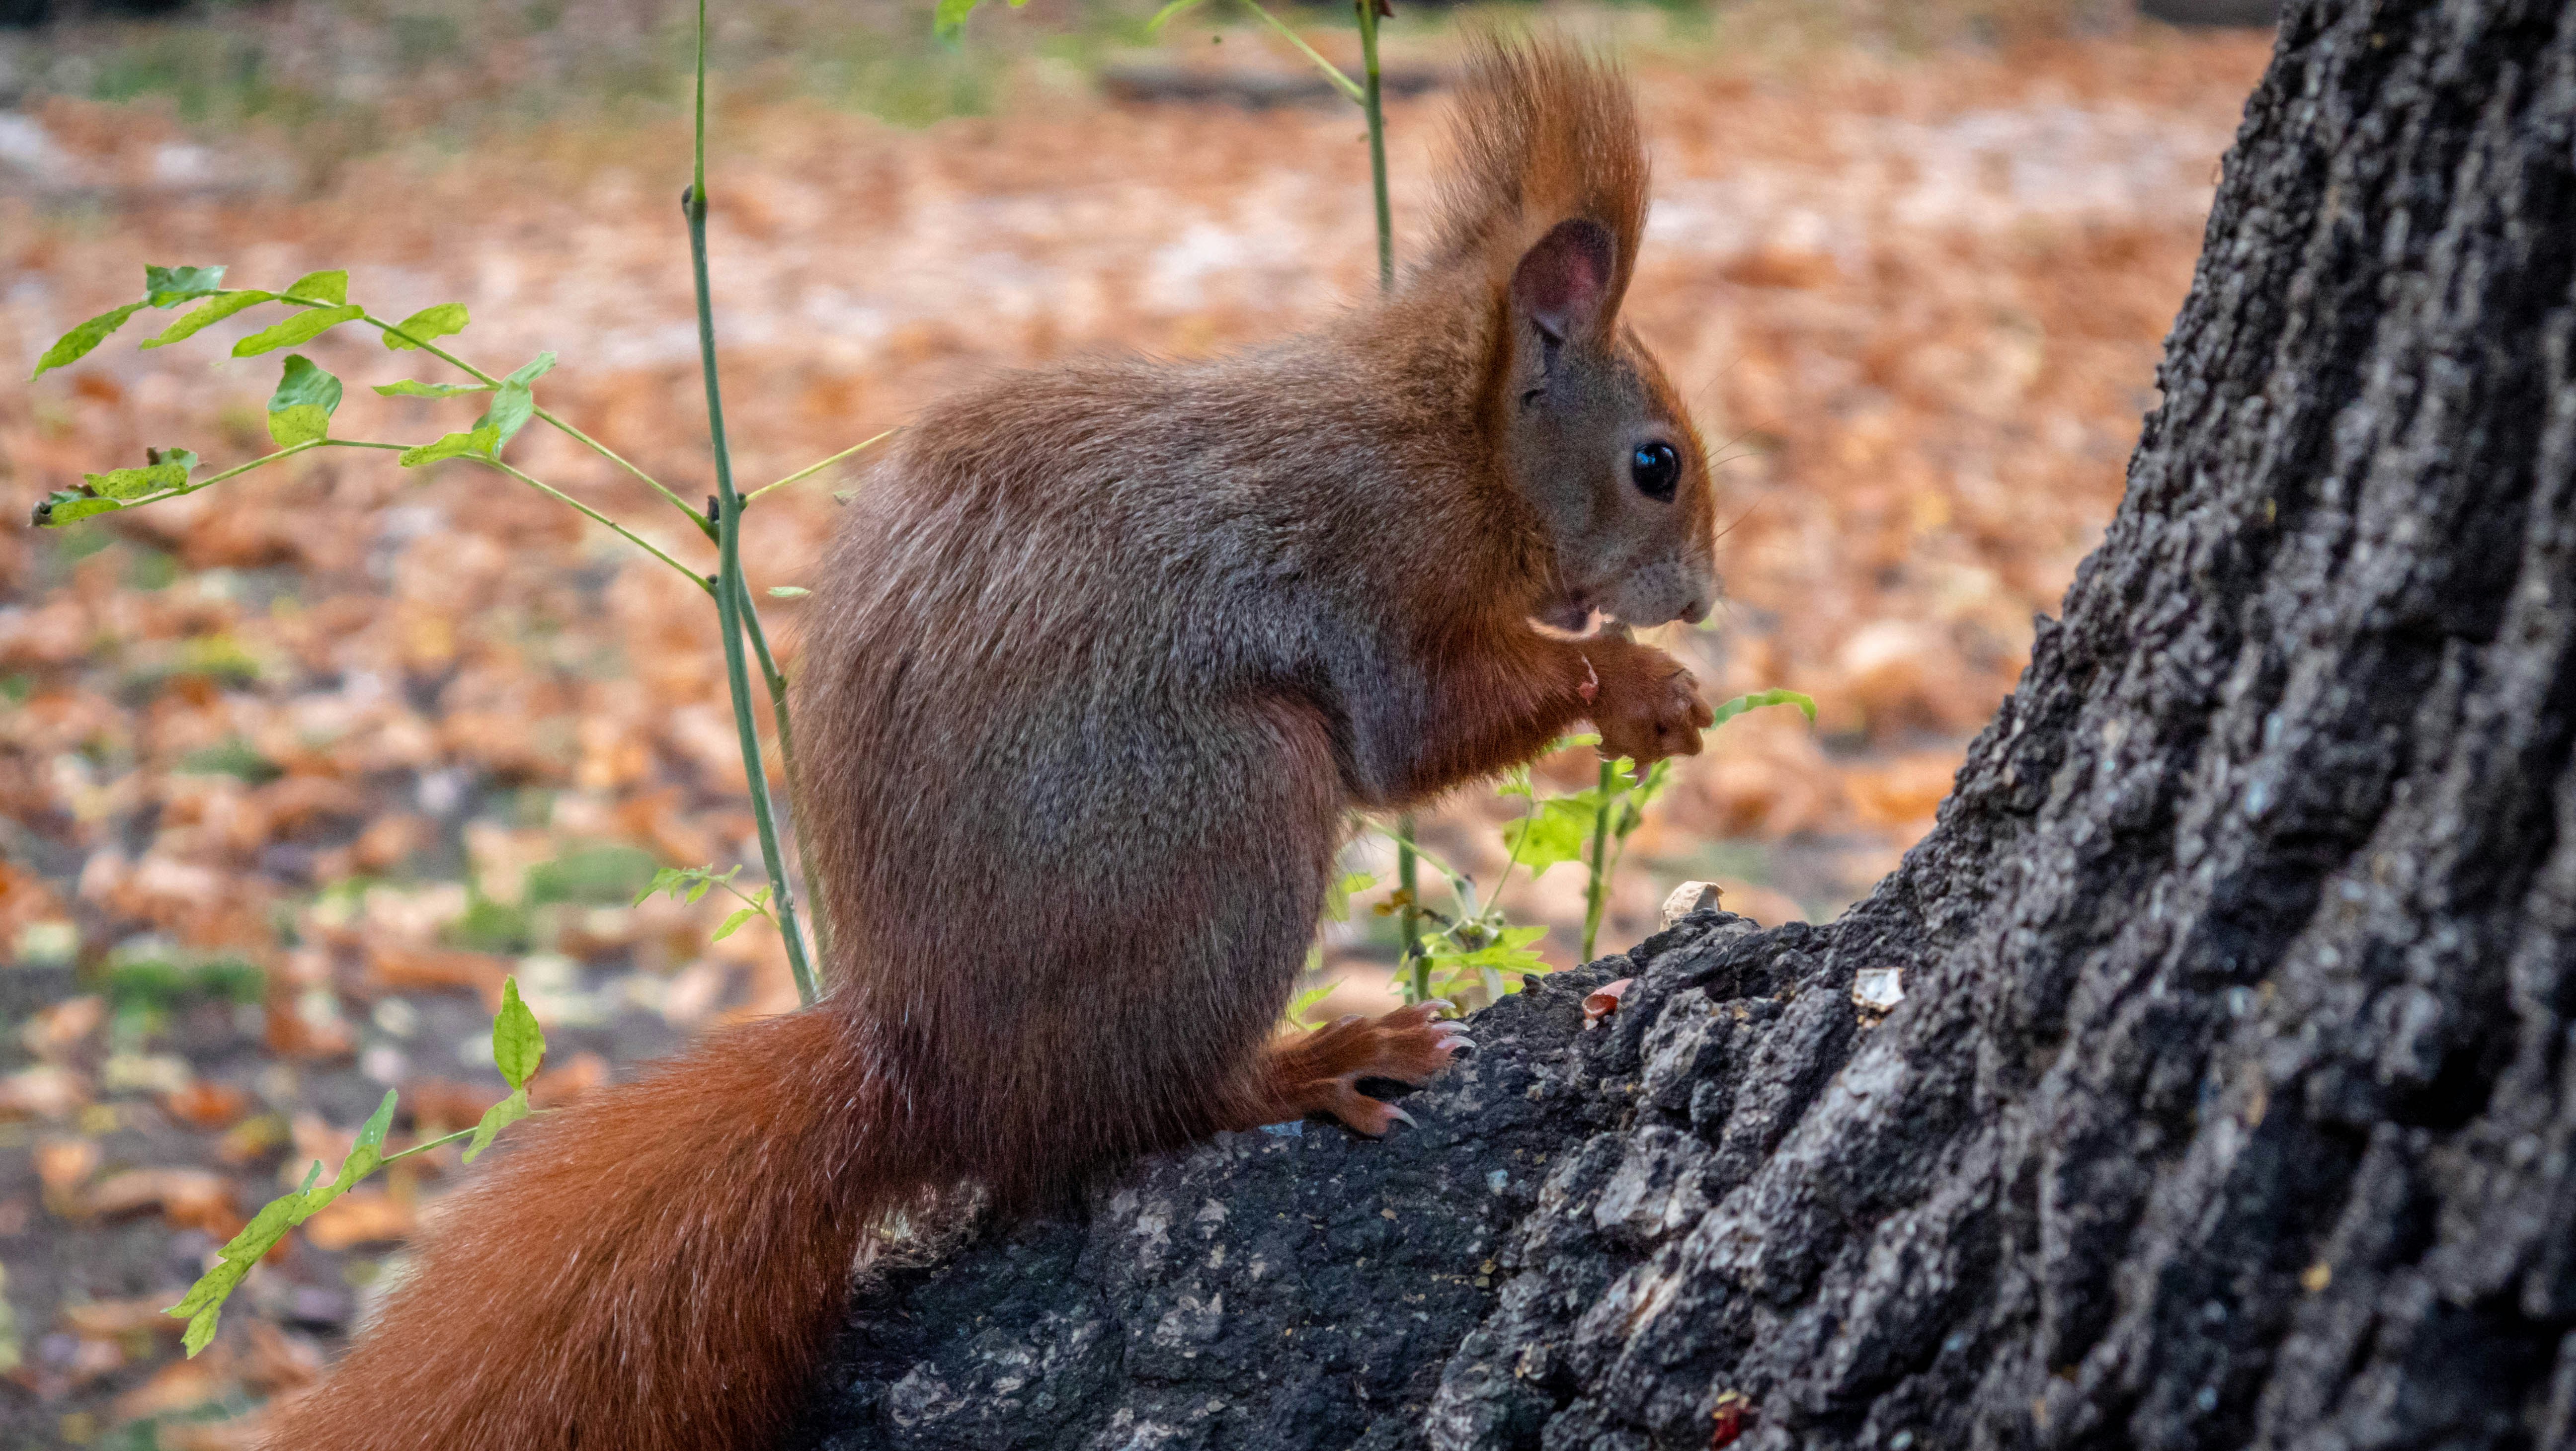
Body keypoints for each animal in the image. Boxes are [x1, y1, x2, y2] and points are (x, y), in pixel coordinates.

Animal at [263, 35, 1719, 1451]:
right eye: (1656, 465)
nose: (1704, 596)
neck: (1452, 431)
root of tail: (934, 1073)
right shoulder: (1374, 559)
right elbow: (1410, 735)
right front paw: (1638, 685)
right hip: (1230, 813)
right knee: (1143, 1114)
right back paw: (1307, 1065)